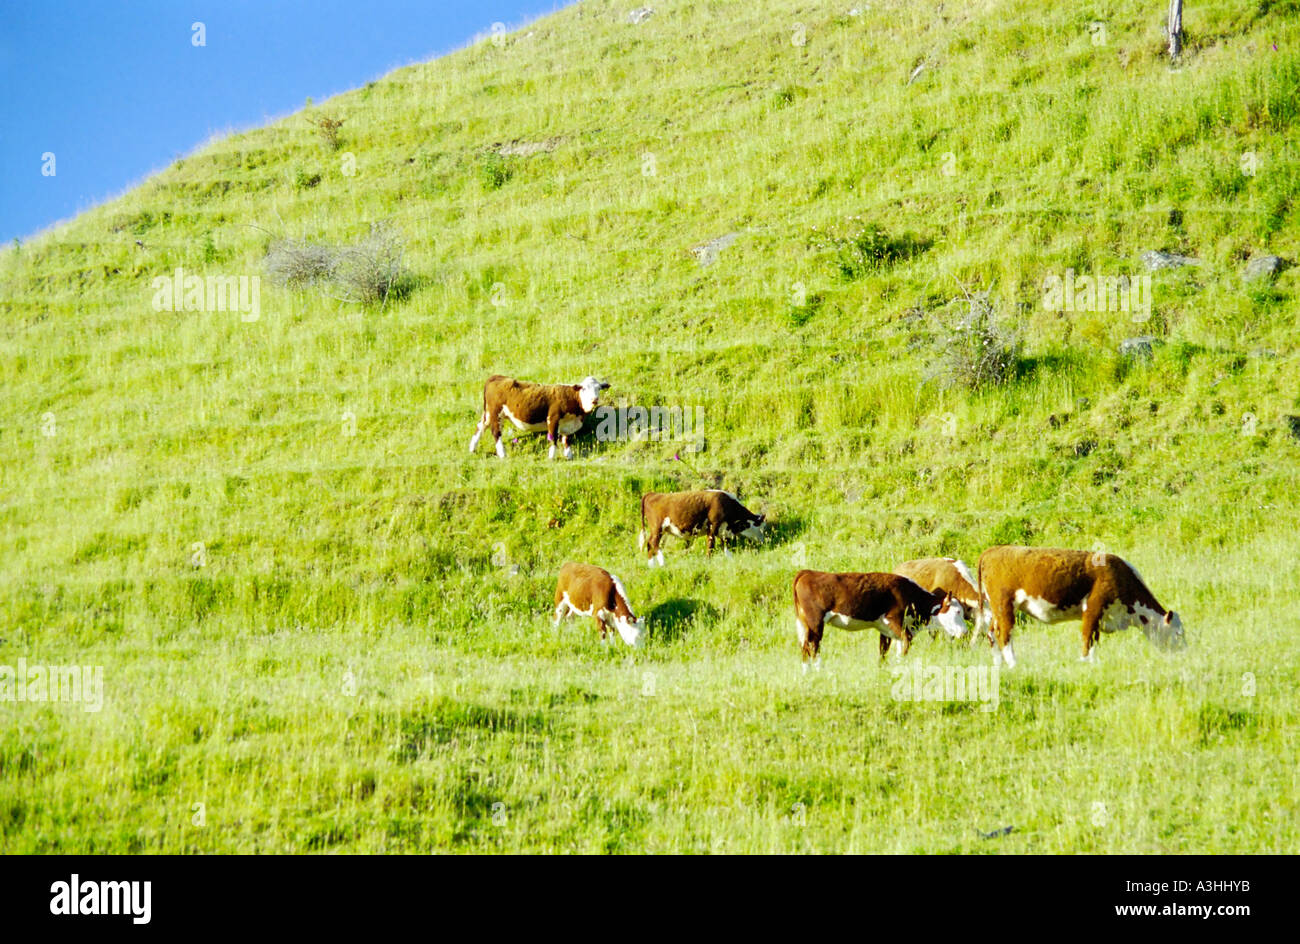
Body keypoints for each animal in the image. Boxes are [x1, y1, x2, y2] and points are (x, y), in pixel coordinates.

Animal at [468, 374, 609, 460]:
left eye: (598, 389)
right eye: (584, 389)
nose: (594, 400)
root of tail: (496, 377)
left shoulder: (568, 424)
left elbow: (567, 439)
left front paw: (569, 455)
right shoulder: (553, 417)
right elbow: (553, 438)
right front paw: (552, 457)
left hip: (488, 413)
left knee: (480, 427)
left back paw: (472, 448)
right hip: (496, 413)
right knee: (496, 433)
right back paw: (502, 454)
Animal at [792, 570, 967, 672]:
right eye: (958, 611)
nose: (965, 632)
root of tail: (807, 572)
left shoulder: (885, 629)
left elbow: (883, 651)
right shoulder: (894, 620)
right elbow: (906, 640)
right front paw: (900, 665)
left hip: (803, 623)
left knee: (804, 646)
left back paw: (806, 672)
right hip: (815, 622)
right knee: (813, 645)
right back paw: (819, 670)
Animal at [976, 545, 1186, 668]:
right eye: (1178, 633)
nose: (1184, 653)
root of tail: (992, 550)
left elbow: (1094, 640)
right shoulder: (1093, 609)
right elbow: (1087, 638)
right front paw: (1087, 663)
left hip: (996, 609)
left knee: (992, 633)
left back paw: (998, 664)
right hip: (1004, 605)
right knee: (1004, 635)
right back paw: (1013, 664)